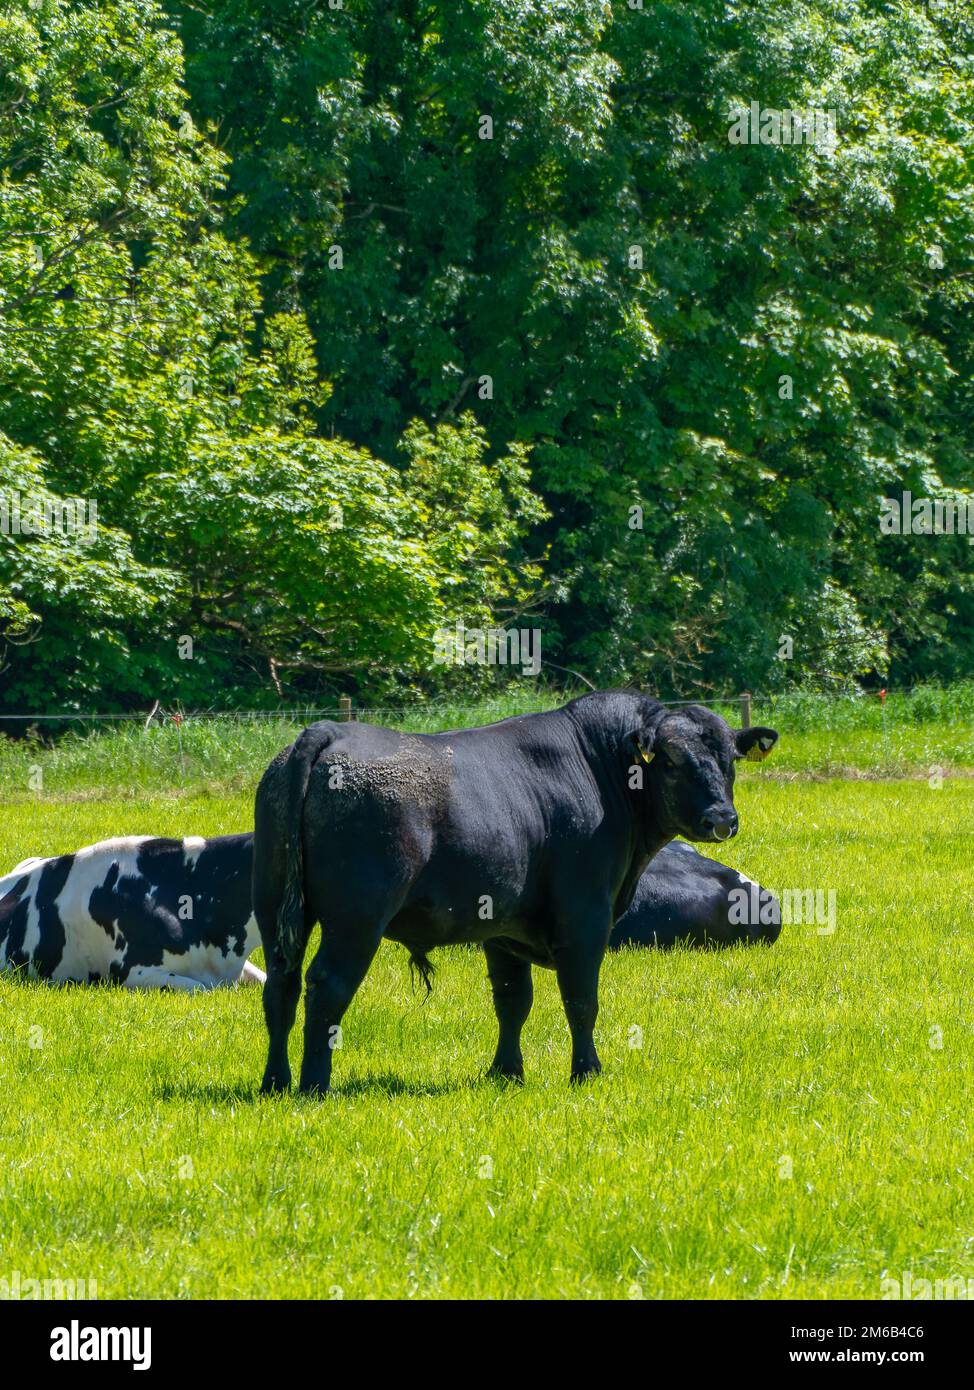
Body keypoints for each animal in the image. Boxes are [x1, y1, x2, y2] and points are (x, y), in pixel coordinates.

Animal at [252, 690, 778, 1094]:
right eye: (670, 762)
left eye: (730, 759)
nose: (721, 818)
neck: (598, 766)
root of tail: (327, 732)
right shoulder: (586, 917)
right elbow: (581, 1000)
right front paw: (587, 1073)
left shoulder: (502, 928)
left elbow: (511, 1001)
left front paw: (506, 1073)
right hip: (356, 919)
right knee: (327, 987)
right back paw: (313, 1085)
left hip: (275, 906)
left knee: (281, 987)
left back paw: (275, 1082)